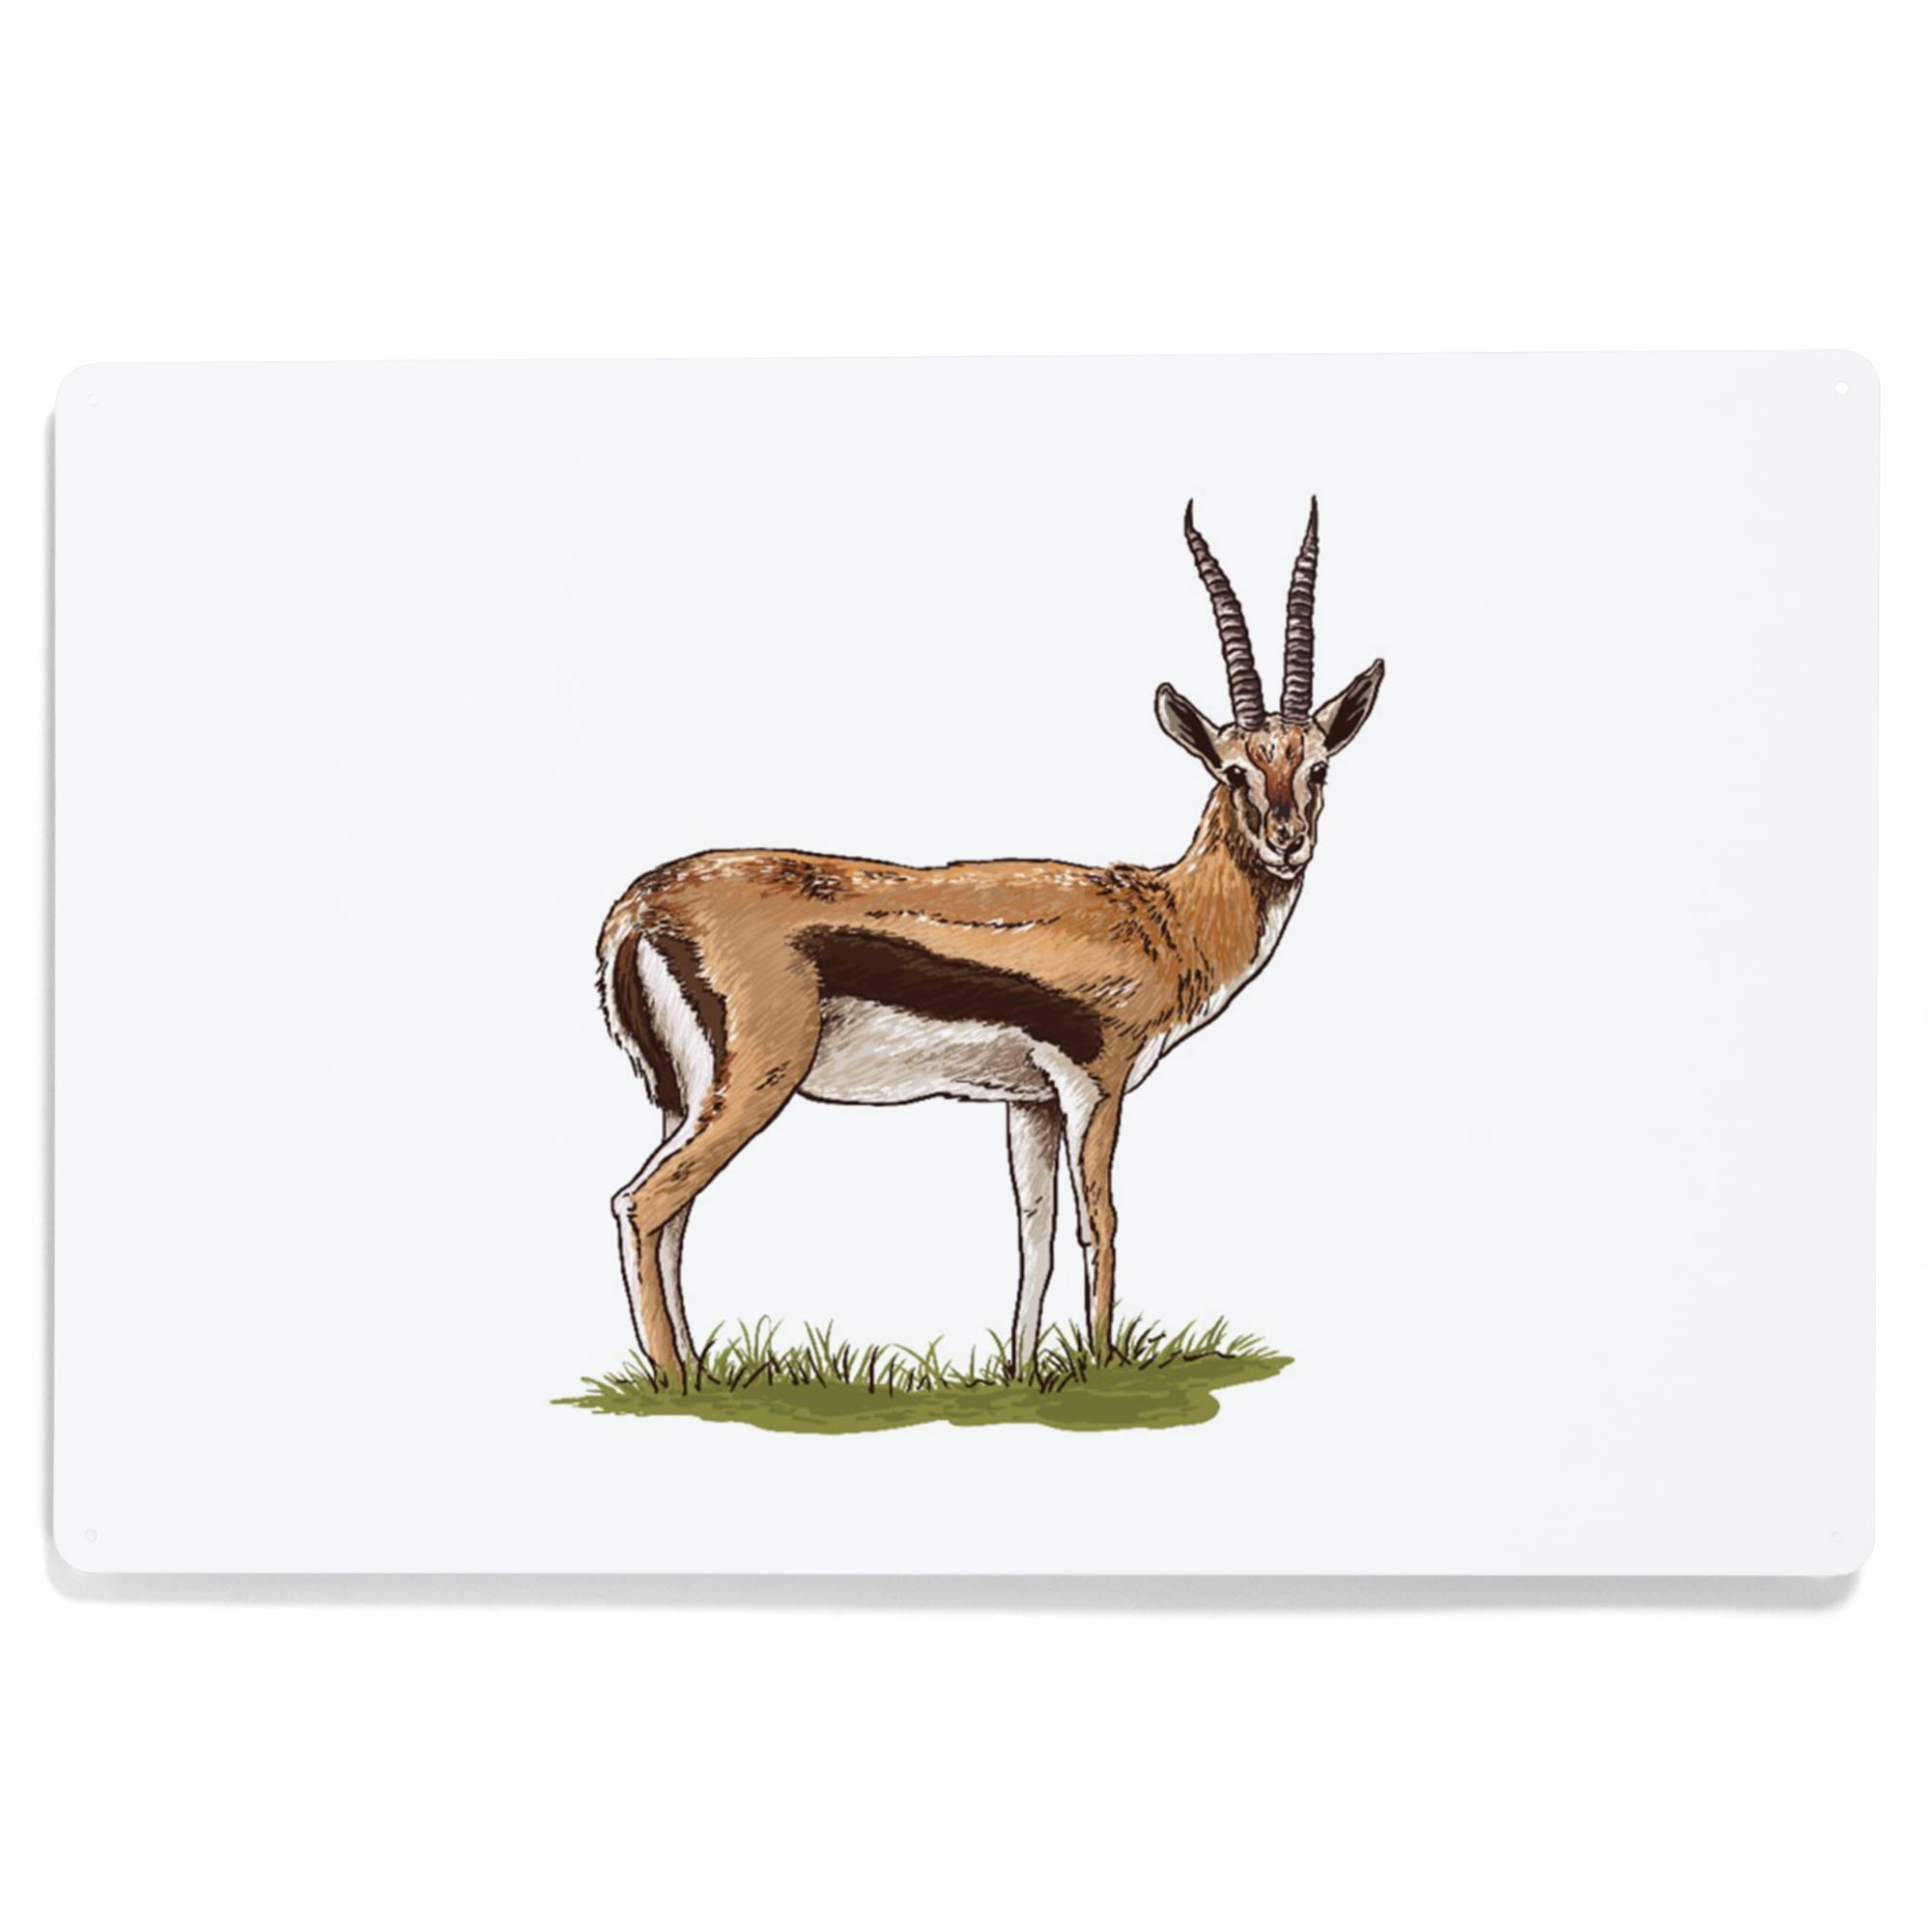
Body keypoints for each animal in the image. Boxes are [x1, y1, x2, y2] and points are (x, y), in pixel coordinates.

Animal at [597, 498, 1384, 1382]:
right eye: (1232, 769)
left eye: (1317, 767)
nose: (1287, 841)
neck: (1164, 915)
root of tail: (637, 910)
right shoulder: (1096, 1086)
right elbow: (1099, 1224)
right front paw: (1101, 1370)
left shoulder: (1027, 1104)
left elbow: (1033, 1239)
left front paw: (1024, 1378)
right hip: (753, 1085)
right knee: (645, 1202)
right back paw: (675, 1383)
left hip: (685, 1099)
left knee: (674, 1217)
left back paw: (696, 1372)